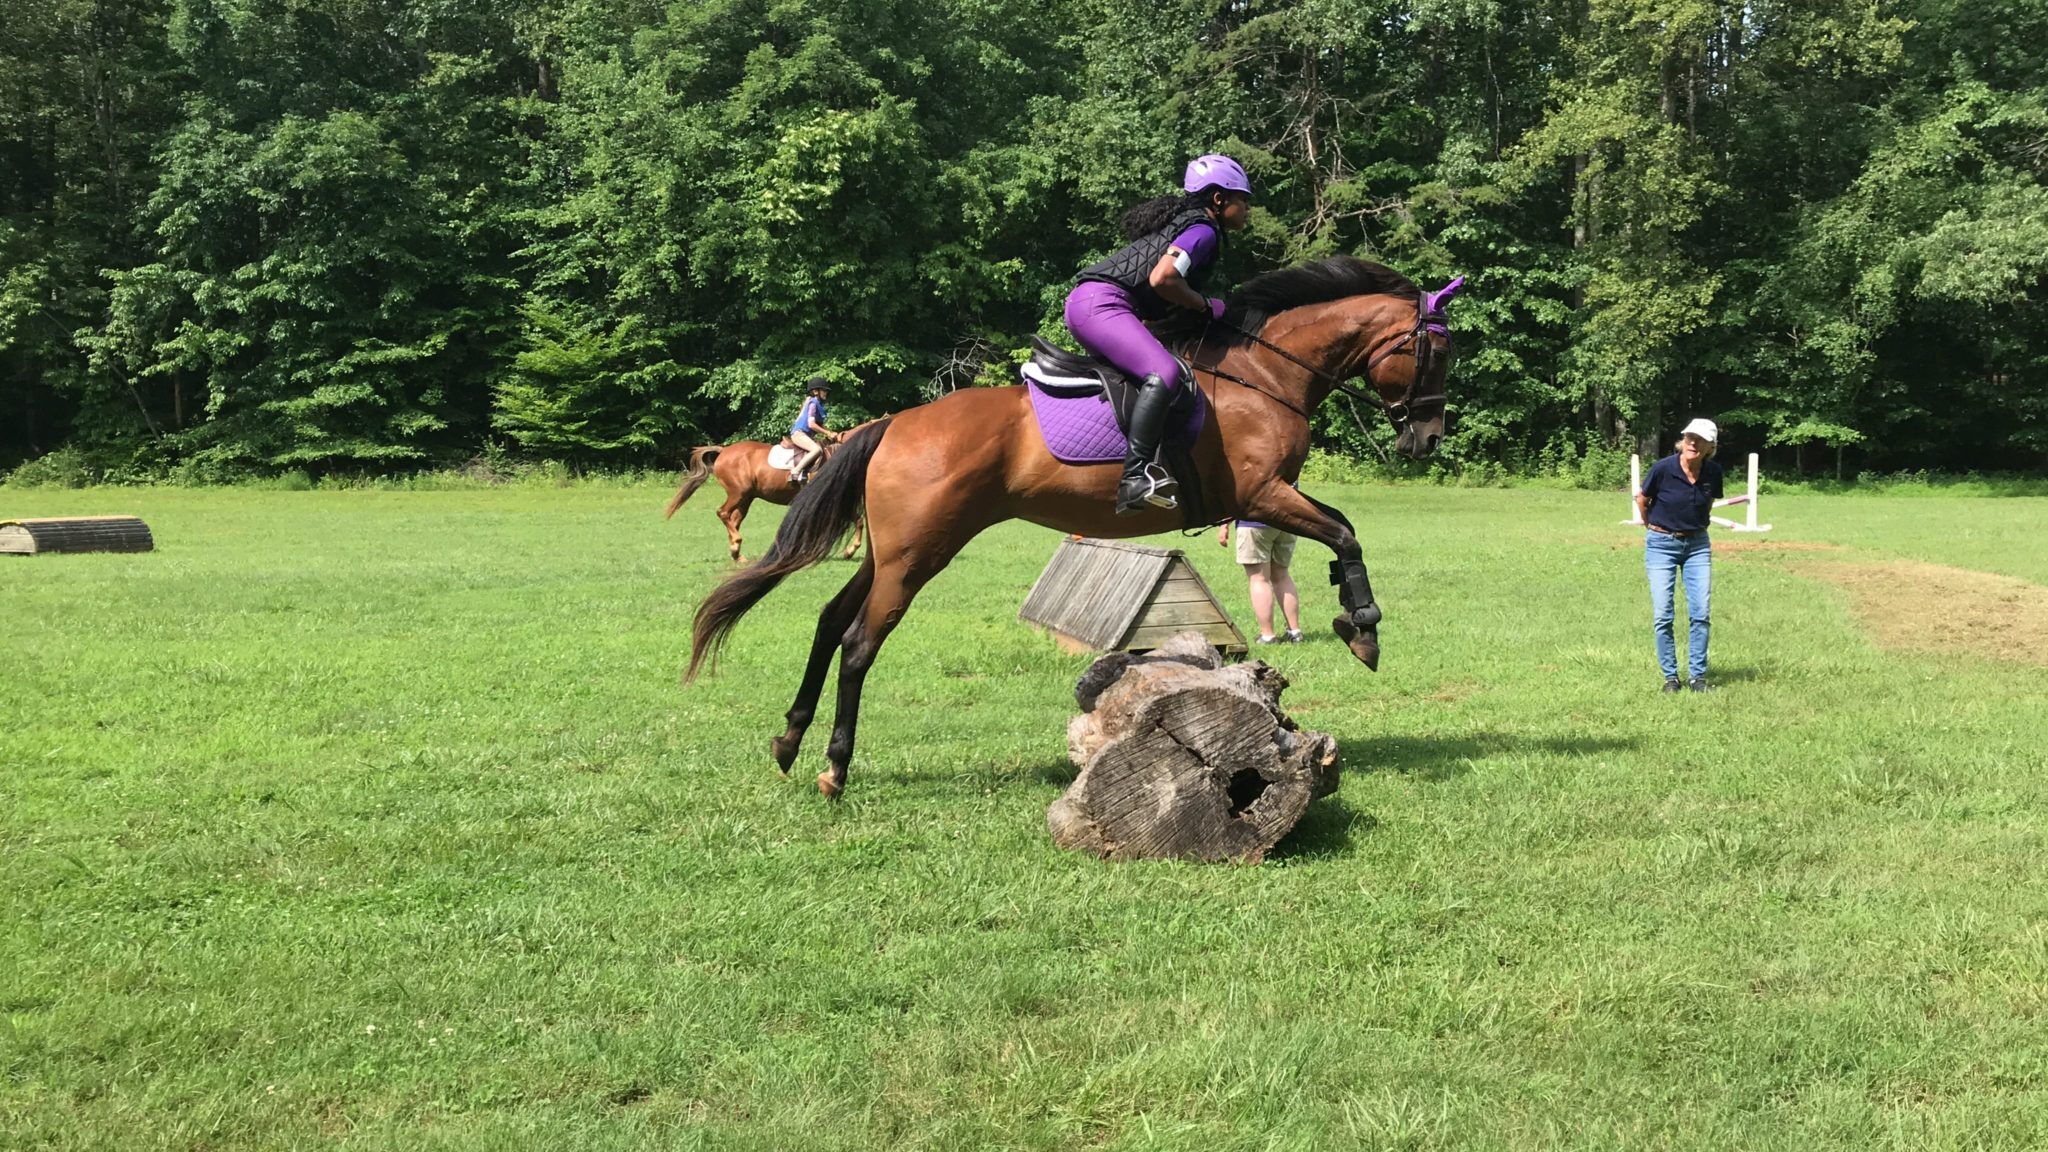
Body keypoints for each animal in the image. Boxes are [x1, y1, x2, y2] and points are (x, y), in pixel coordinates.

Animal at [663, 440, 865, 563]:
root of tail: (724, 450)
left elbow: (858, 521)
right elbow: (857, 521)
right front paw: (849, 551)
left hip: (746, 498)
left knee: (734, 519)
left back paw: (736, 553)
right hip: (738, 493)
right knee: (723, 513)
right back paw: (736, 544)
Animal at [688, 256, 1457, 798]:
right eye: (1440, 353)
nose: (1426, 439)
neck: (1265, 376)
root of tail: (895, 423)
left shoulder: (1273, 496)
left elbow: (1342, 527)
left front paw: (1355, 622)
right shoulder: (1264, 494)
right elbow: (1346, 532)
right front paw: (1363, 627)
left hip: (891, 551)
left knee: (826, 622)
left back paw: (789, 742)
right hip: (918, 554)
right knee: (857, 643)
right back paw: (834, 767)